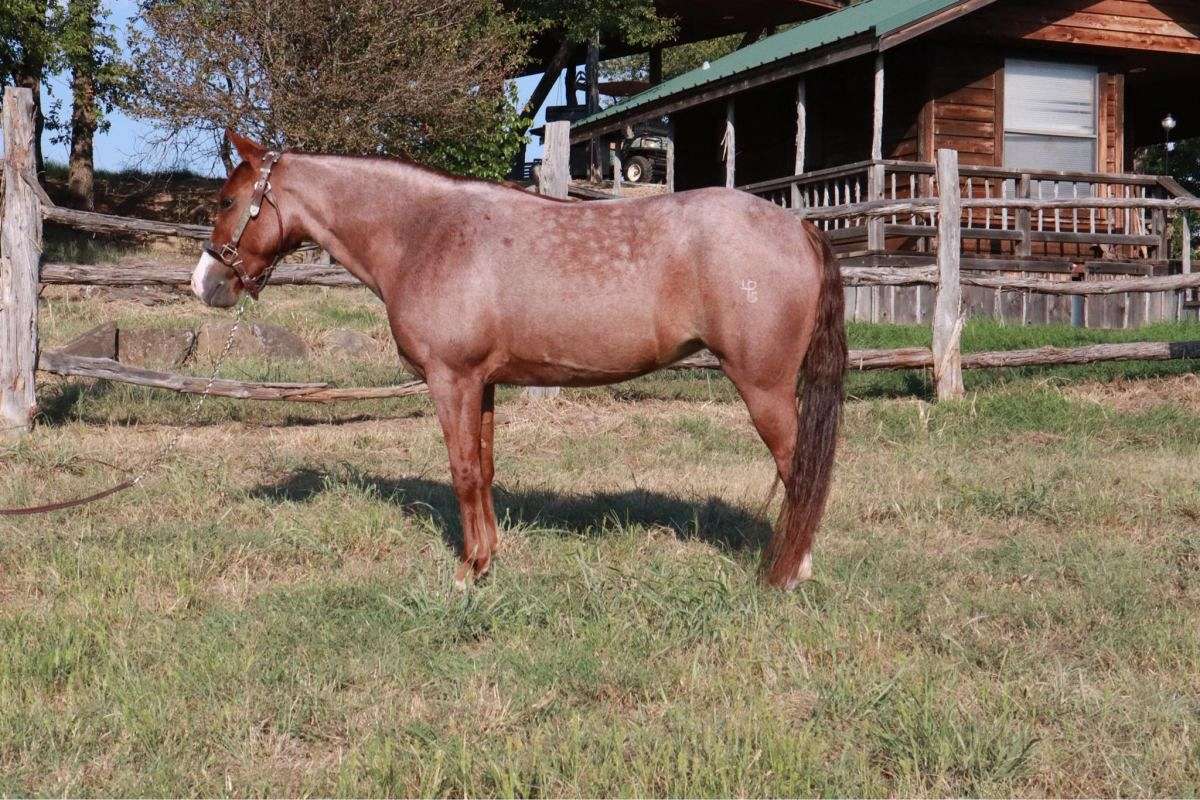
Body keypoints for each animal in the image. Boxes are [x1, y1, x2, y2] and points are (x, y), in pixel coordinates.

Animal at [192, 130, 847, 590]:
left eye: (227, 200)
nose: (206, 284)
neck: (424, 233)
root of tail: (799, 229)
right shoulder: (481, 383)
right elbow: (483, 469)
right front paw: (486, 561)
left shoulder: (451, 380)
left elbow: (461, 471)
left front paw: (464, 573)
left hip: (764, 387)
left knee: (800, 471)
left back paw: (790, 573)